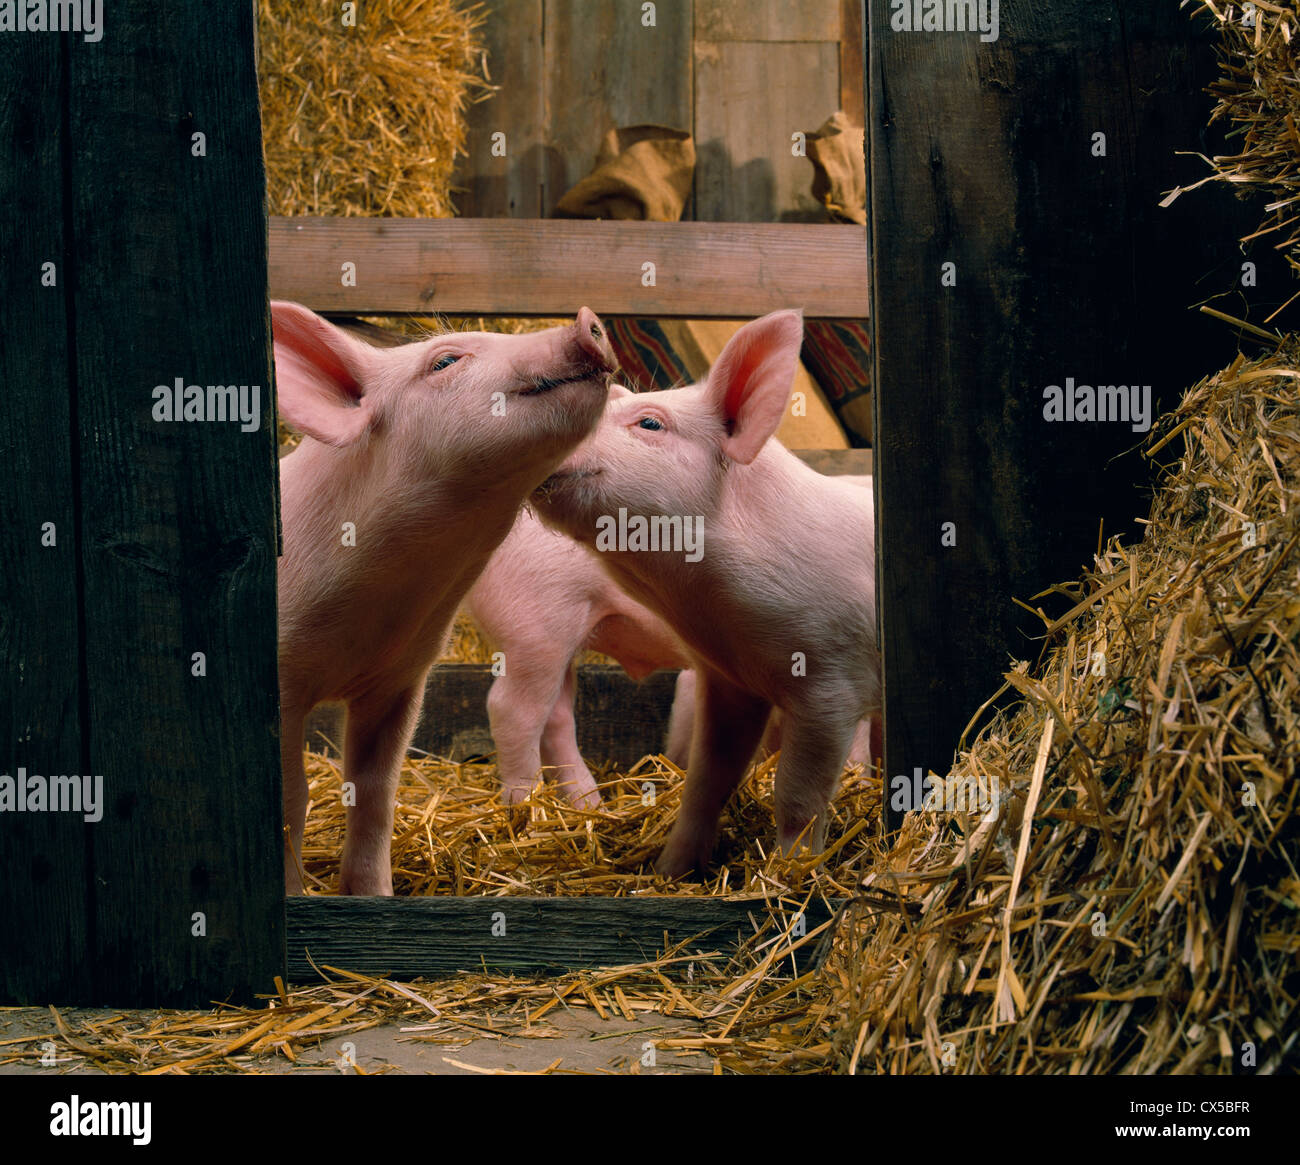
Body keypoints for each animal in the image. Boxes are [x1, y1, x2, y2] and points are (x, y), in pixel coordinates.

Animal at [273, 302, 617, 895]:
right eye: (445, 361)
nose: (587, 319)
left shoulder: (400, 679)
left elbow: (376, 795)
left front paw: (376, 897)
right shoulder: (281, 678)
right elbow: (294, 796)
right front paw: (298, 898)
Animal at [531, 310, 880, 876]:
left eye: (650, 424)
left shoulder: (833, 682)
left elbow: (798, 796)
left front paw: (786, 875)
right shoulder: (726, 681)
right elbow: (705, 783)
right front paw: (668, 872)